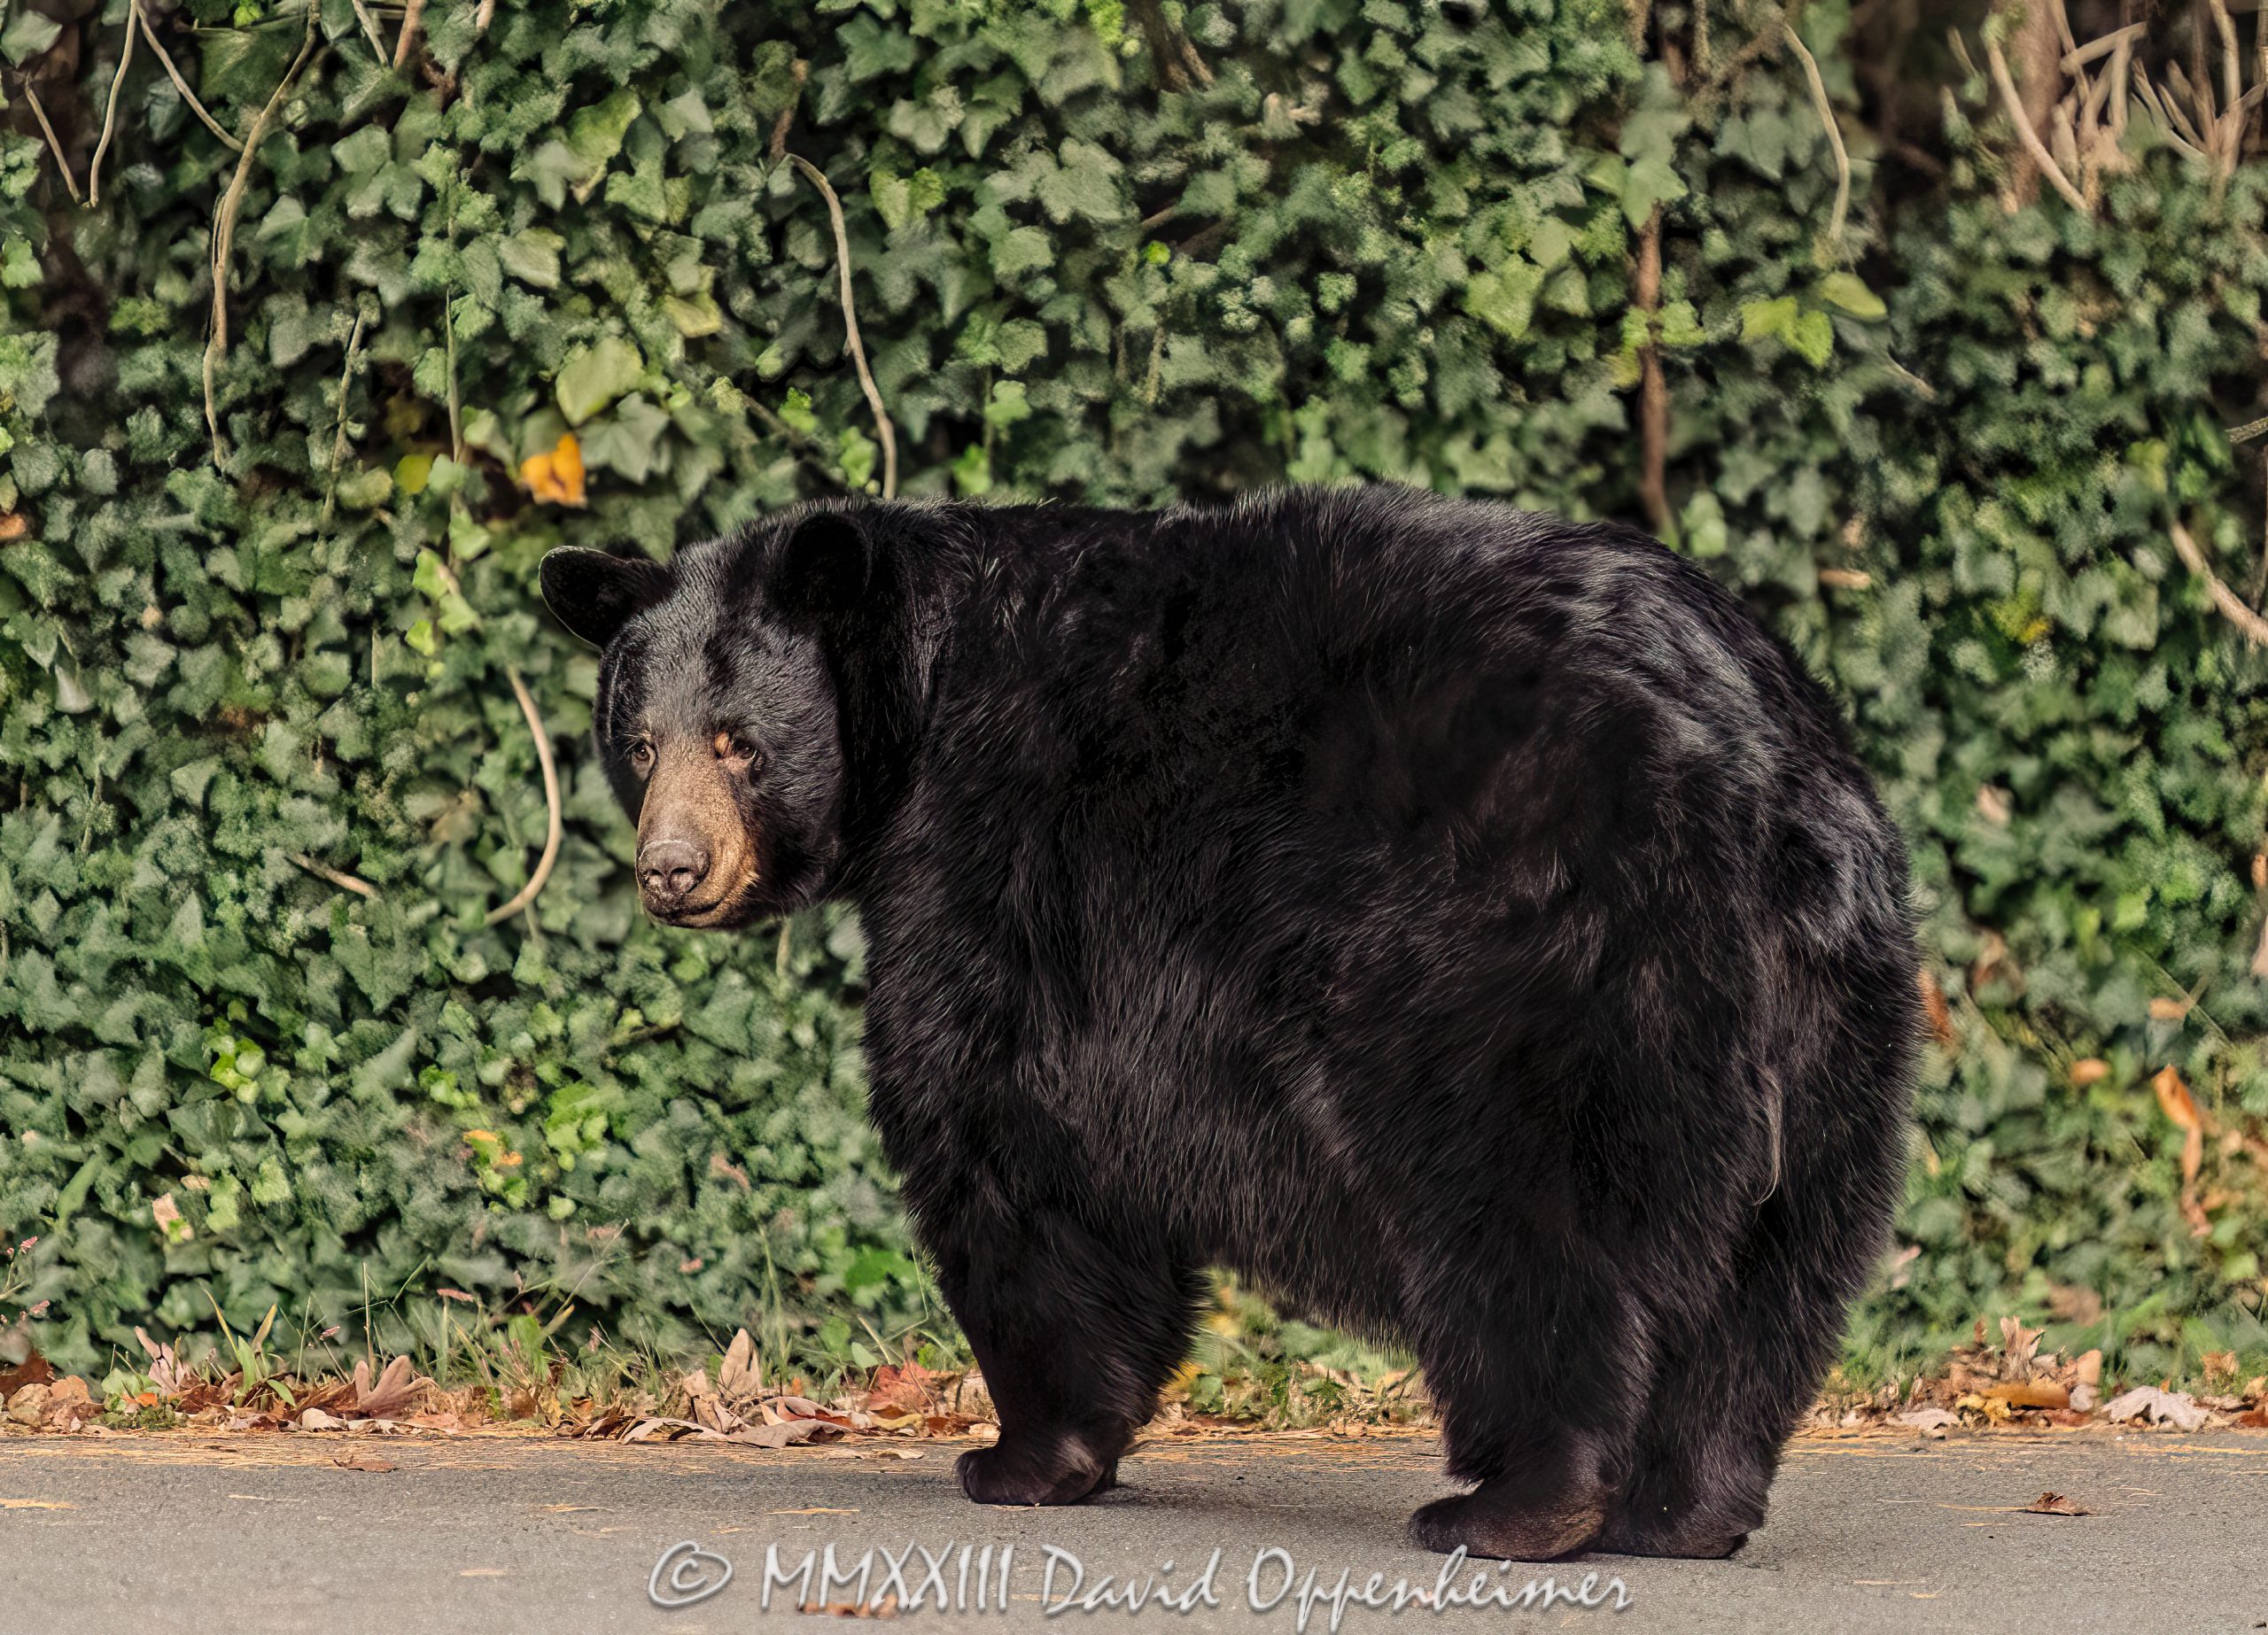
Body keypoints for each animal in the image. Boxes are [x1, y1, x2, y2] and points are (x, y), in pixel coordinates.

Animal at [539, 487, 1918, 1562]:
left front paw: (1021, 1453)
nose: (671, 868)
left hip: (1516, 965)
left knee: (1521, 1219)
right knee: (1774, 1272)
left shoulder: (998, 874)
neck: (922, 703)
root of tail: (1749, 773)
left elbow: (1002, 1135)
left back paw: (1514, 1502)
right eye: (641, 741)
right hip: (1829, 1020)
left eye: (742, 744)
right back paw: (1685, 1508)